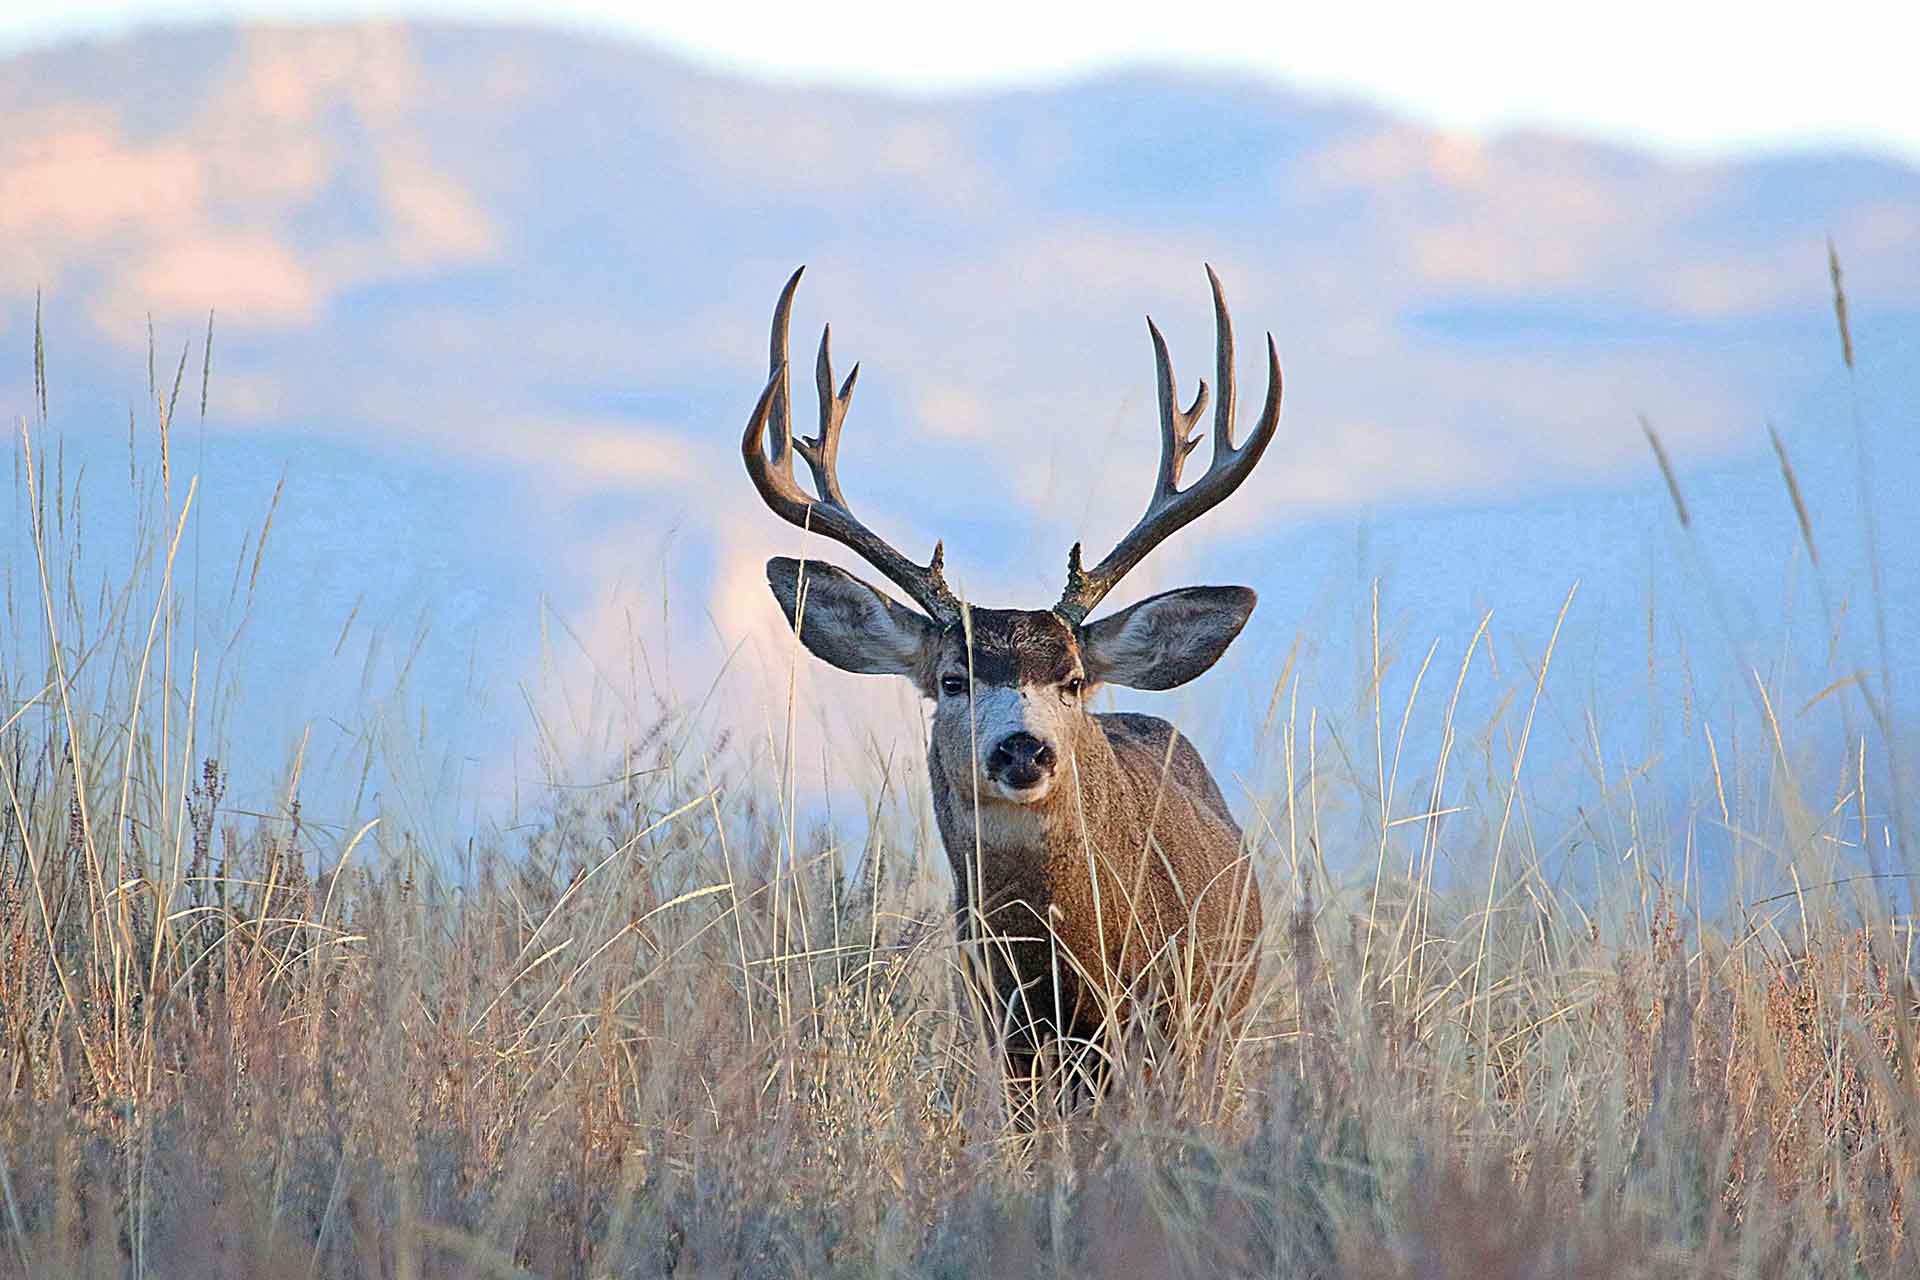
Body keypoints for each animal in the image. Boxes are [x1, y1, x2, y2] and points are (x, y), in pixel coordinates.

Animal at [741, 265, 1278, 1110]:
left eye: (1074, 680)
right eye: (952, 679)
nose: (1022, 751)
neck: (1064, 973)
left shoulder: (1165, 1028)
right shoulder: (1008, 1036)